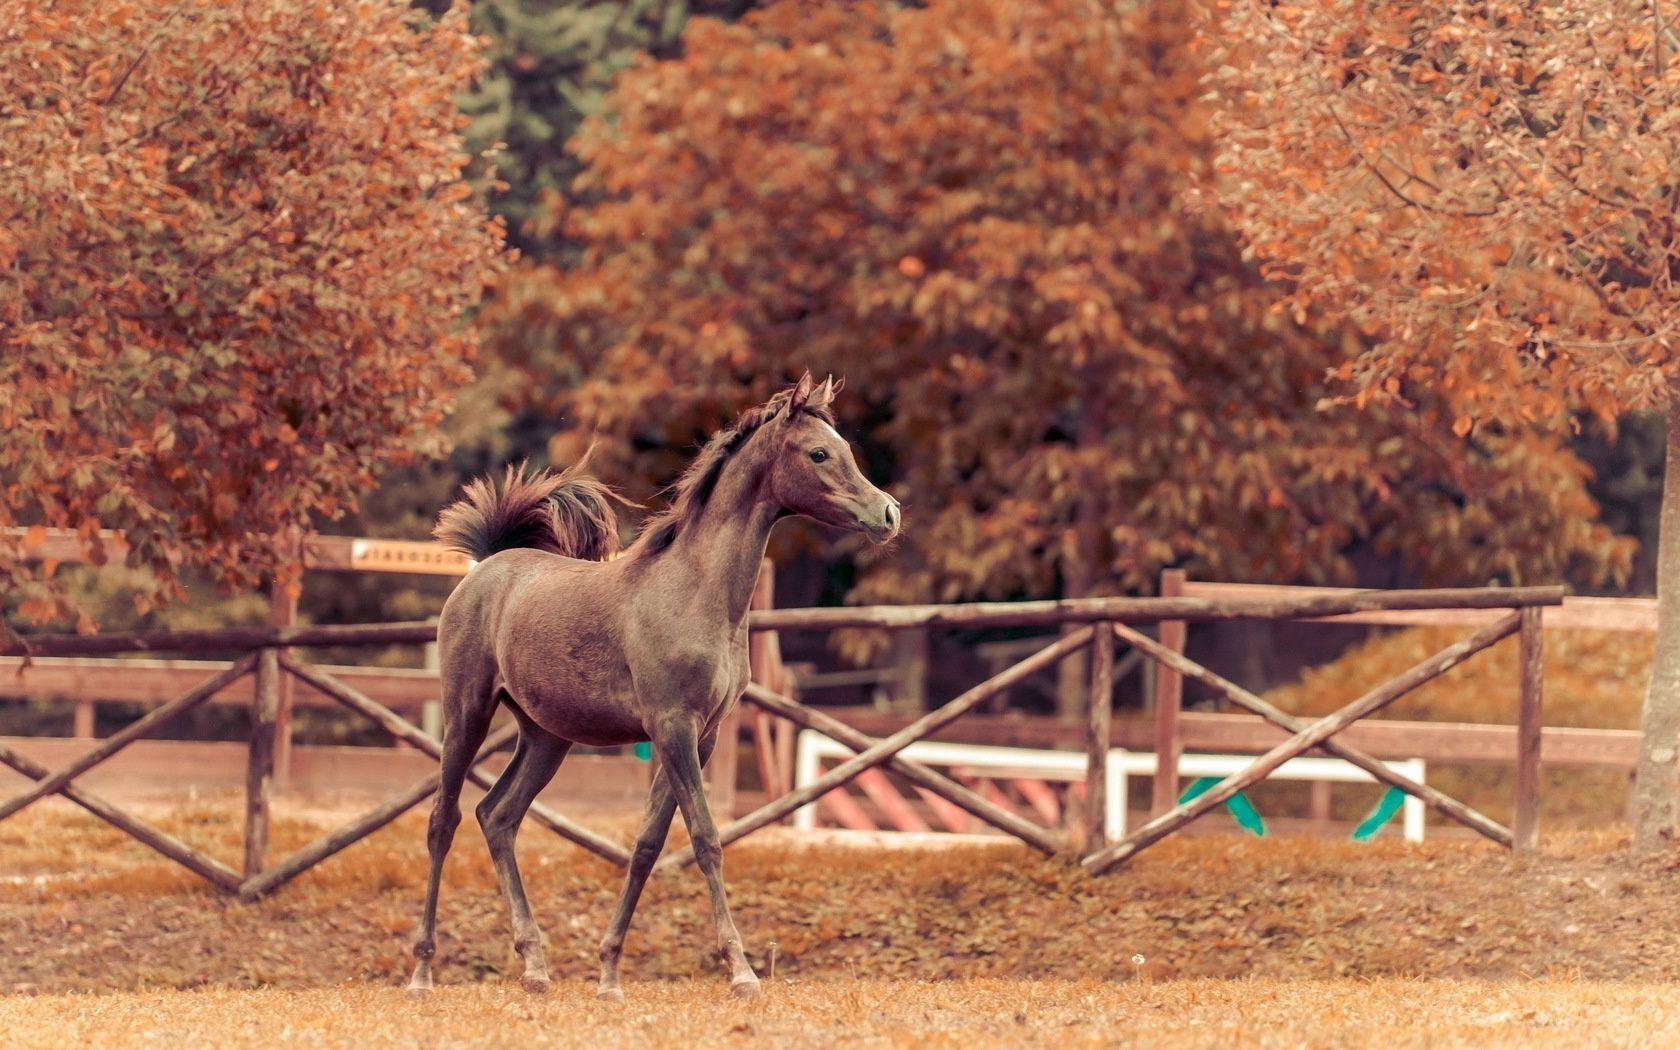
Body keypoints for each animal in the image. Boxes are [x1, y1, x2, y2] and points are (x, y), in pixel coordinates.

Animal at [409, 374, 900, 1001]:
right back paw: (422, 973)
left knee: (497, 816)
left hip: (546, 737)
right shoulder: (673, 727)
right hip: (466, 712)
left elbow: (647, 845)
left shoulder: (700, 736)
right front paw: (741, 973)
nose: (888, 513)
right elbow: (706, 838)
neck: (694, 594)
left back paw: (535, 968)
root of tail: (487, 566)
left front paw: (609, 975)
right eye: (818, 453)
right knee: (442, 821)